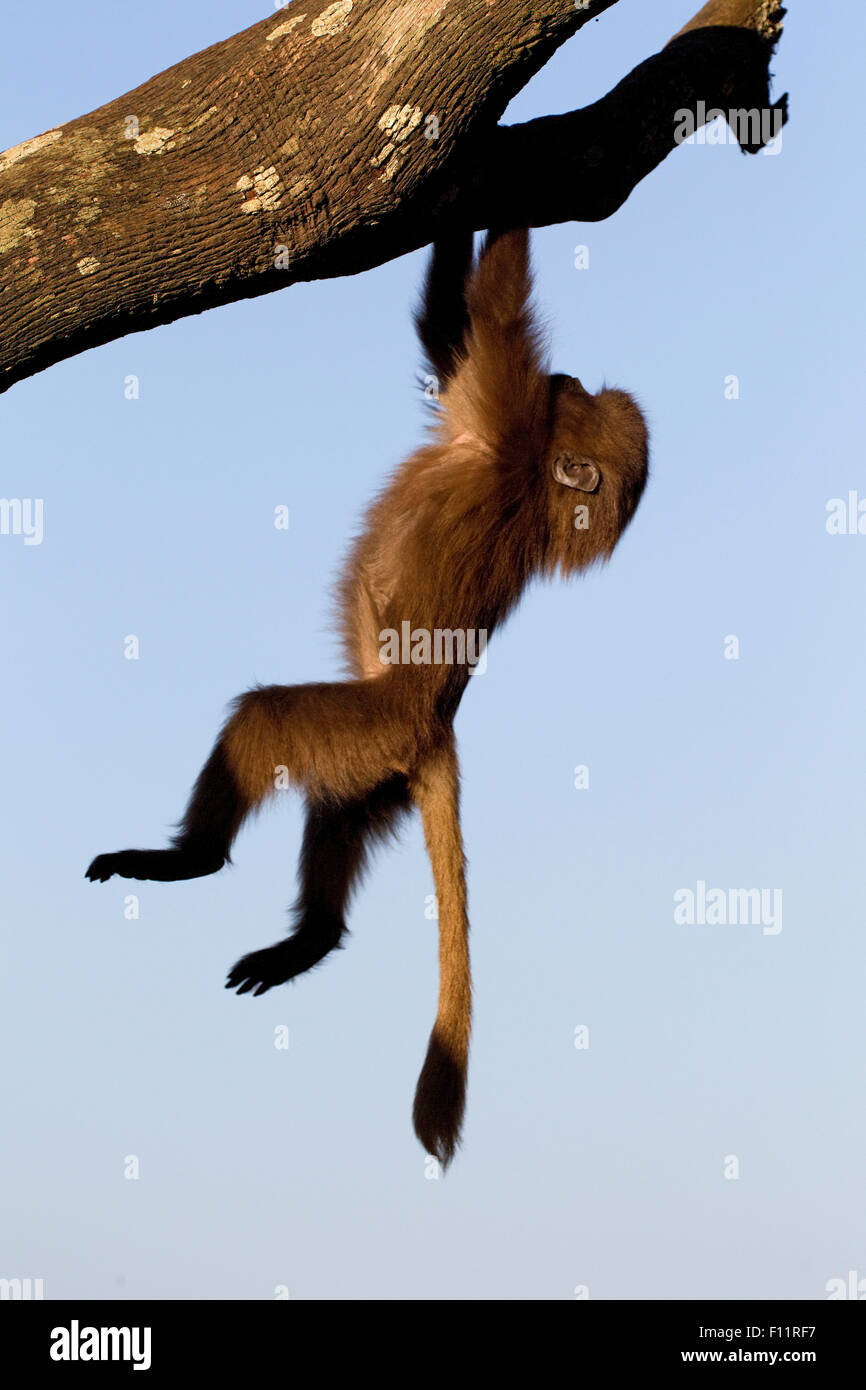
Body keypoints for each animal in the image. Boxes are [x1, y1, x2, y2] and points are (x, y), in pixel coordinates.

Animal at [86, 228, 649, 1168]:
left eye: (573, 397)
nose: (570, 379)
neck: (535, 490)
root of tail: (435, 727)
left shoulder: (505, 421)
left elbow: (491, 312)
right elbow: (445, 329)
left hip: (367, 726)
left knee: (266, 718)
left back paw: (189, 859)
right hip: (375, 760)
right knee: (336, 812)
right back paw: (310, 938)